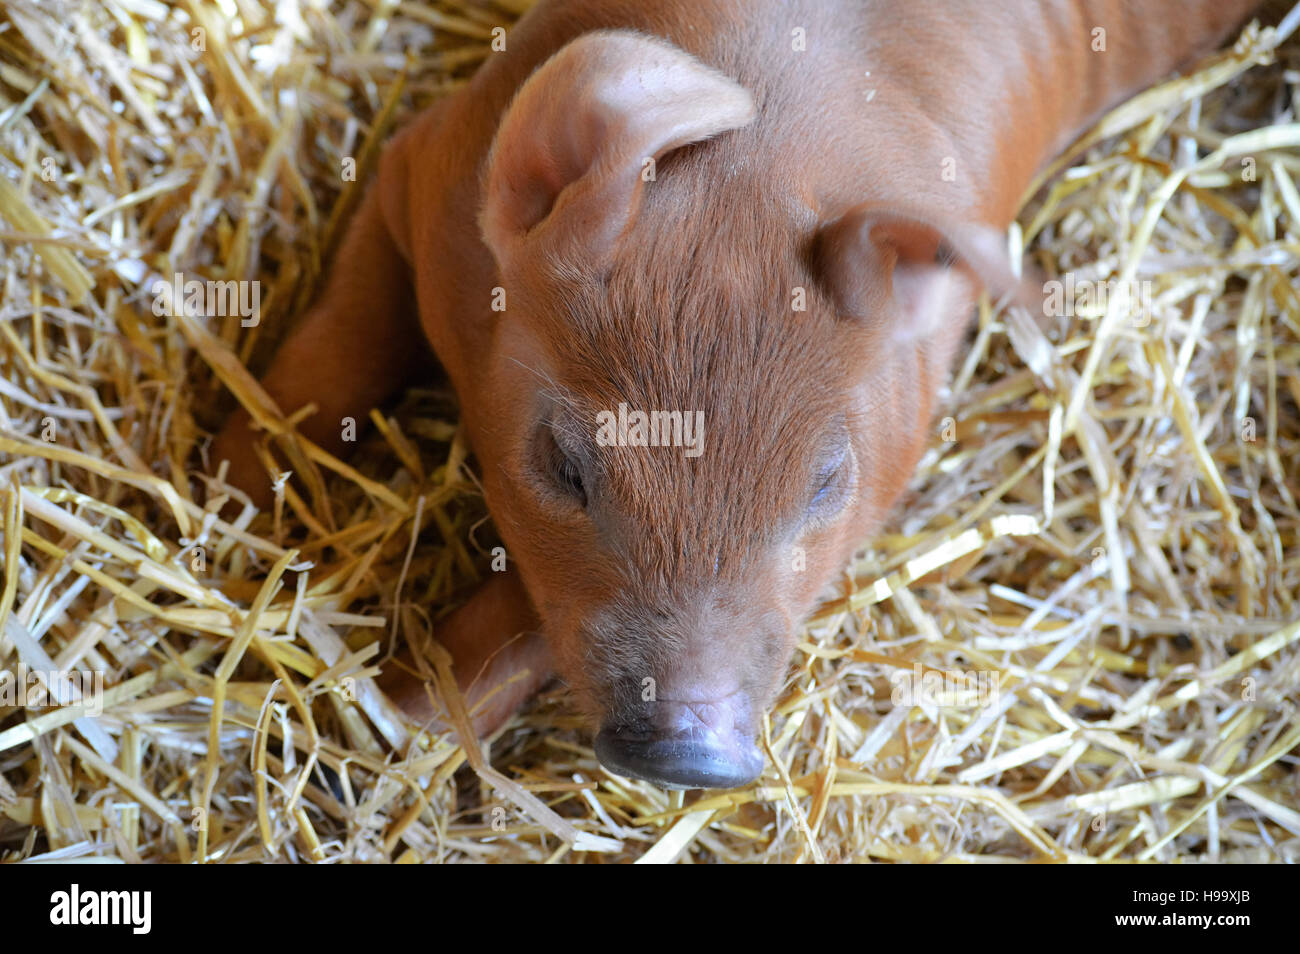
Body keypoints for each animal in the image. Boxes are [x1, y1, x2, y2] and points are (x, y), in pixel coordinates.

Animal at [211, 0, 1261, 789]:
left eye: (827, 481)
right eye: (562, 462)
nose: (694, 755)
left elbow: (521, 627)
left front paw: (390, 722)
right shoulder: (420, 169)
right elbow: (341, 342)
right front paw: (230, 502)